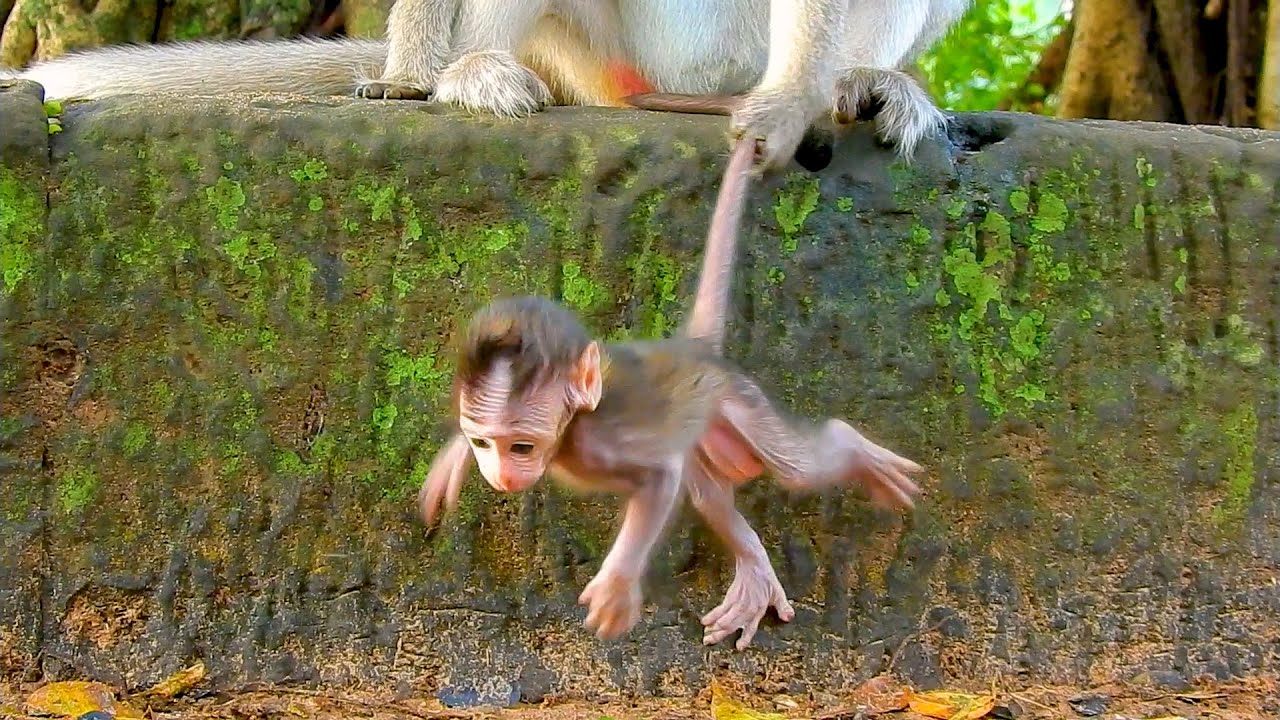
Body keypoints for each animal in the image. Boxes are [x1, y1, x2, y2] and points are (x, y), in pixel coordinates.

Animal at [417, 136, 924, 649]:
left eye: (521, 447)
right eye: (484, 442)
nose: (501, 476)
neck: (568, 435)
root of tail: (693, 348)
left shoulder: (602, 443)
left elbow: (660, 481)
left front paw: (617, 587)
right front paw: (453, 457)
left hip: (740, 402)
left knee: (795, 469)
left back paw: (852, 447)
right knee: (708, 493)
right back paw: (755, 569)